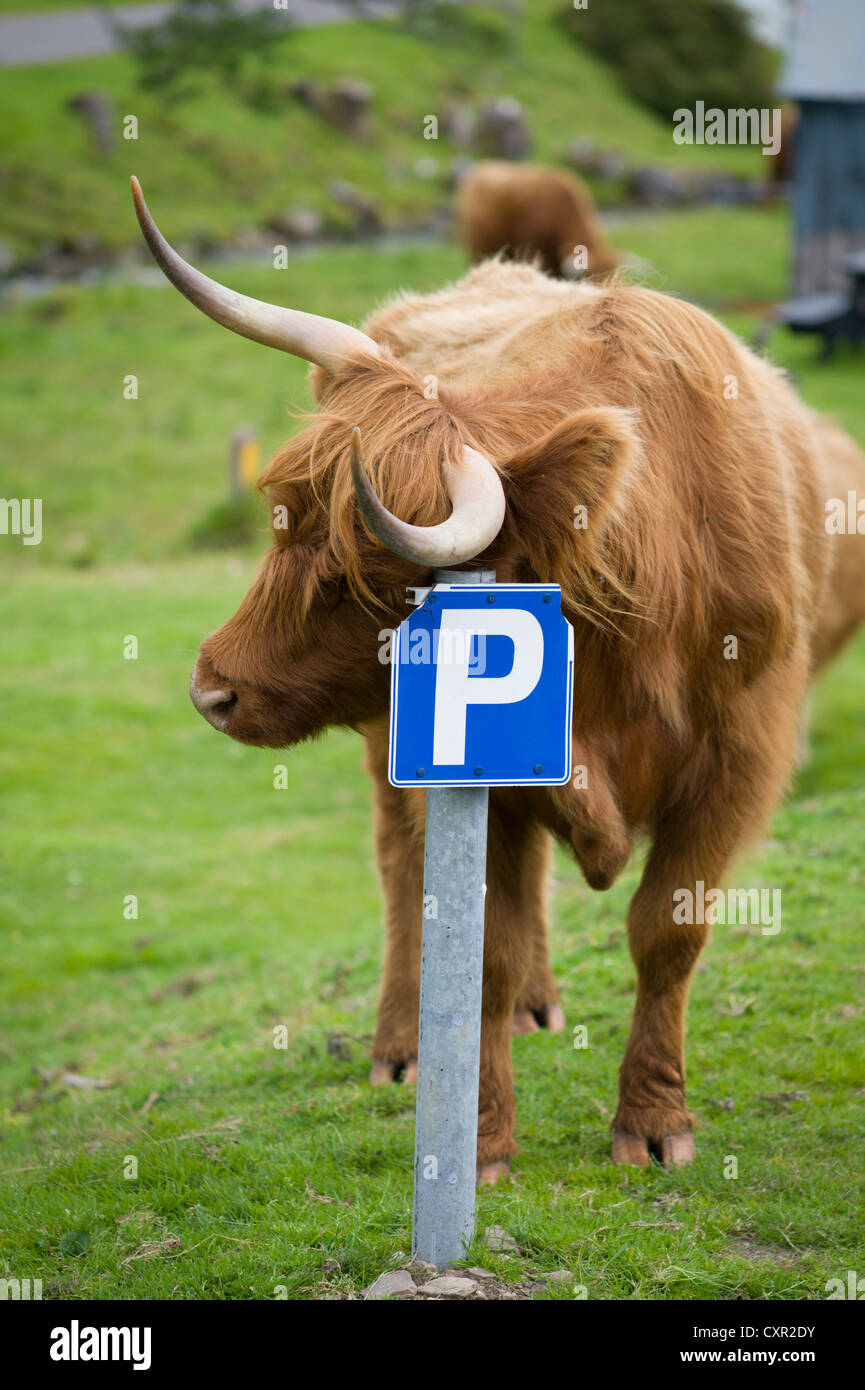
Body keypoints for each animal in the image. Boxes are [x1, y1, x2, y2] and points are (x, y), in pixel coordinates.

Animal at [131, 177, 865, 1182]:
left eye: (373, 579)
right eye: (280, 520)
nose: (214, 690)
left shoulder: (739, 759)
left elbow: (666, 933)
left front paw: (652, 1120)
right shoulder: (486, 776)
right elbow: (480, 948)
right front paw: (476, 1146)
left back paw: (538, 1008)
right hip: (391, 741)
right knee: (402, 868)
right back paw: (402, 1044)